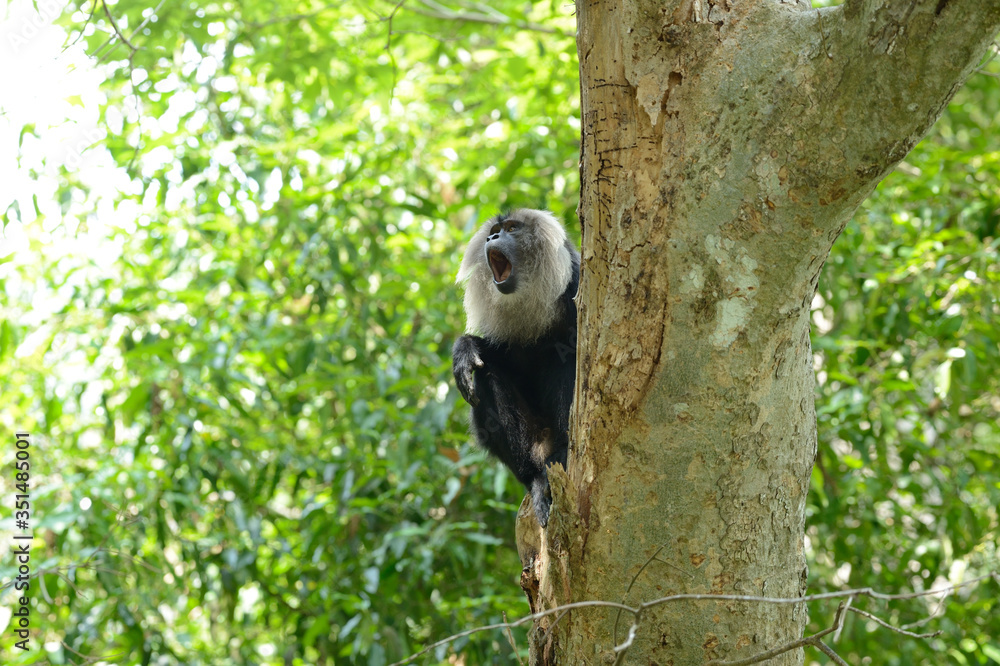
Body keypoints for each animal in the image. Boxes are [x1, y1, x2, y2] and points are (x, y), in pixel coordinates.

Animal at [452, 209, 580, 527]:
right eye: (494, 231)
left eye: (511, 229)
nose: (493, 237)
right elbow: (495, 361)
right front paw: (465, 349)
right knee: (485, 376)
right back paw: (536, 480)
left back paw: (561, 454)